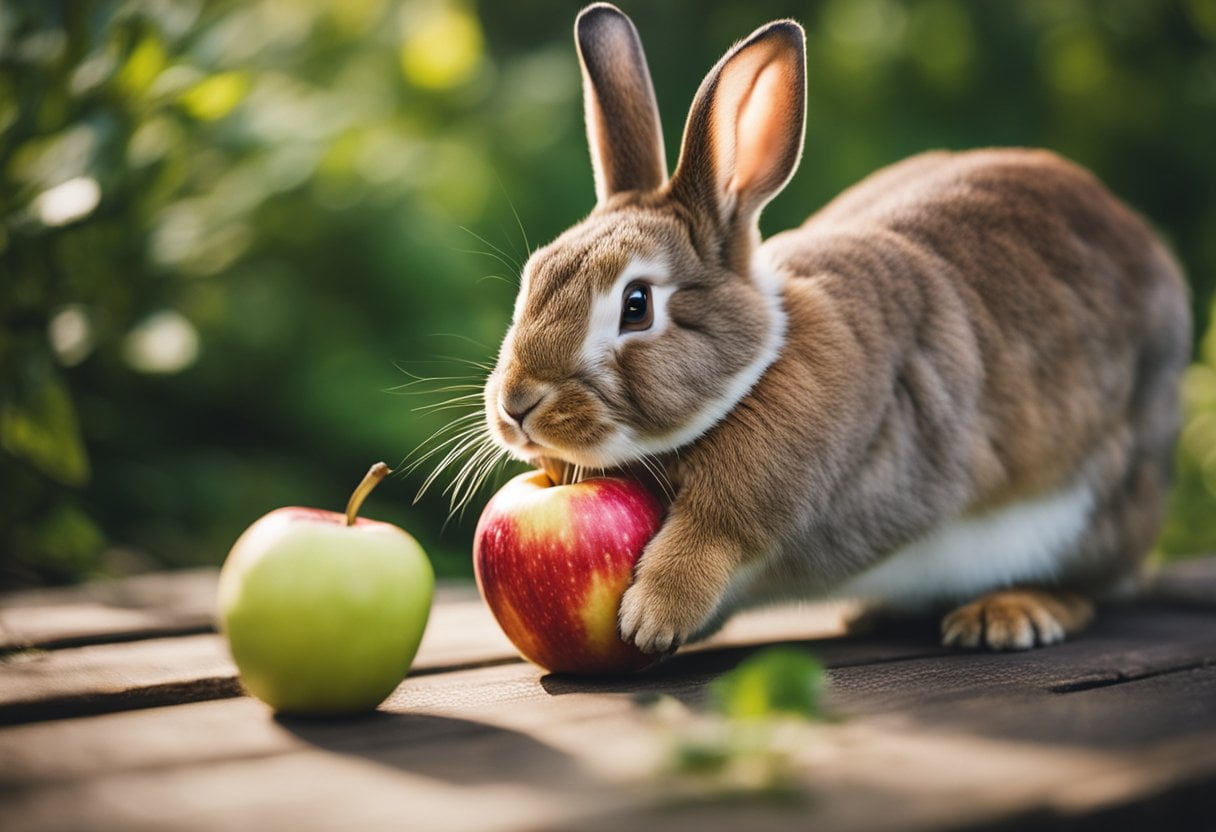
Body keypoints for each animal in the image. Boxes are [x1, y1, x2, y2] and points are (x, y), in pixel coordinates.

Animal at [482, 3, 1191, 653]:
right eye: (534, 275)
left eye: (636, 305)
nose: (516, 406)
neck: (751, 376)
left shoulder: (761, 492)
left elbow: (710, 538)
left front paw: (651, 619)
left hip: (1097, 510)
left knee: (1090, 587)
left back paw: (1007, 614)